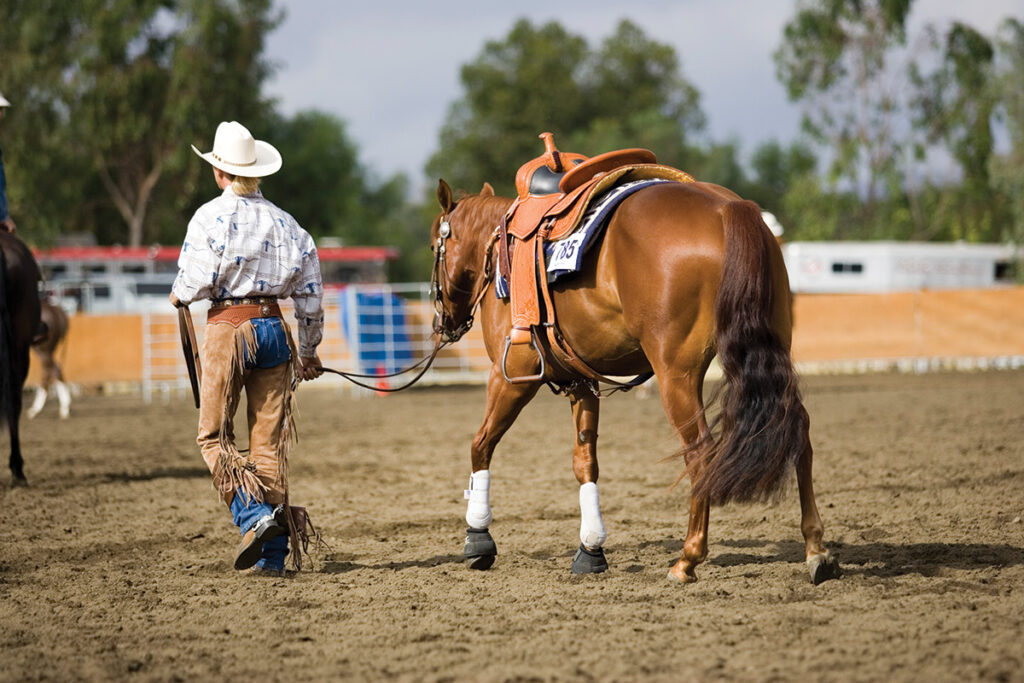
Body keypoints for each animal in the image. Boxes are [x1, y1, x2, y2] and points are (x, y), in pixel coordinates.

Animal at [429, 177, 841, 585]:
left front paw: (478, 537)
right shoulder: (581, 382)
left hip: (676, 373)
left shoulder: (511, 375)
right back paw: (816, 550)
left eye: (436, 244)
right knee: (798, 432)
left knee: (701, 452)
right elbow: (585, 462)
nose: (441, 322)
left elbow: (481, 444)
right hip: (771, 350)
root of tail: (726, 208)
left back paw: (687, 559)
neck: (498, 251)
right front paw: (591, 549)